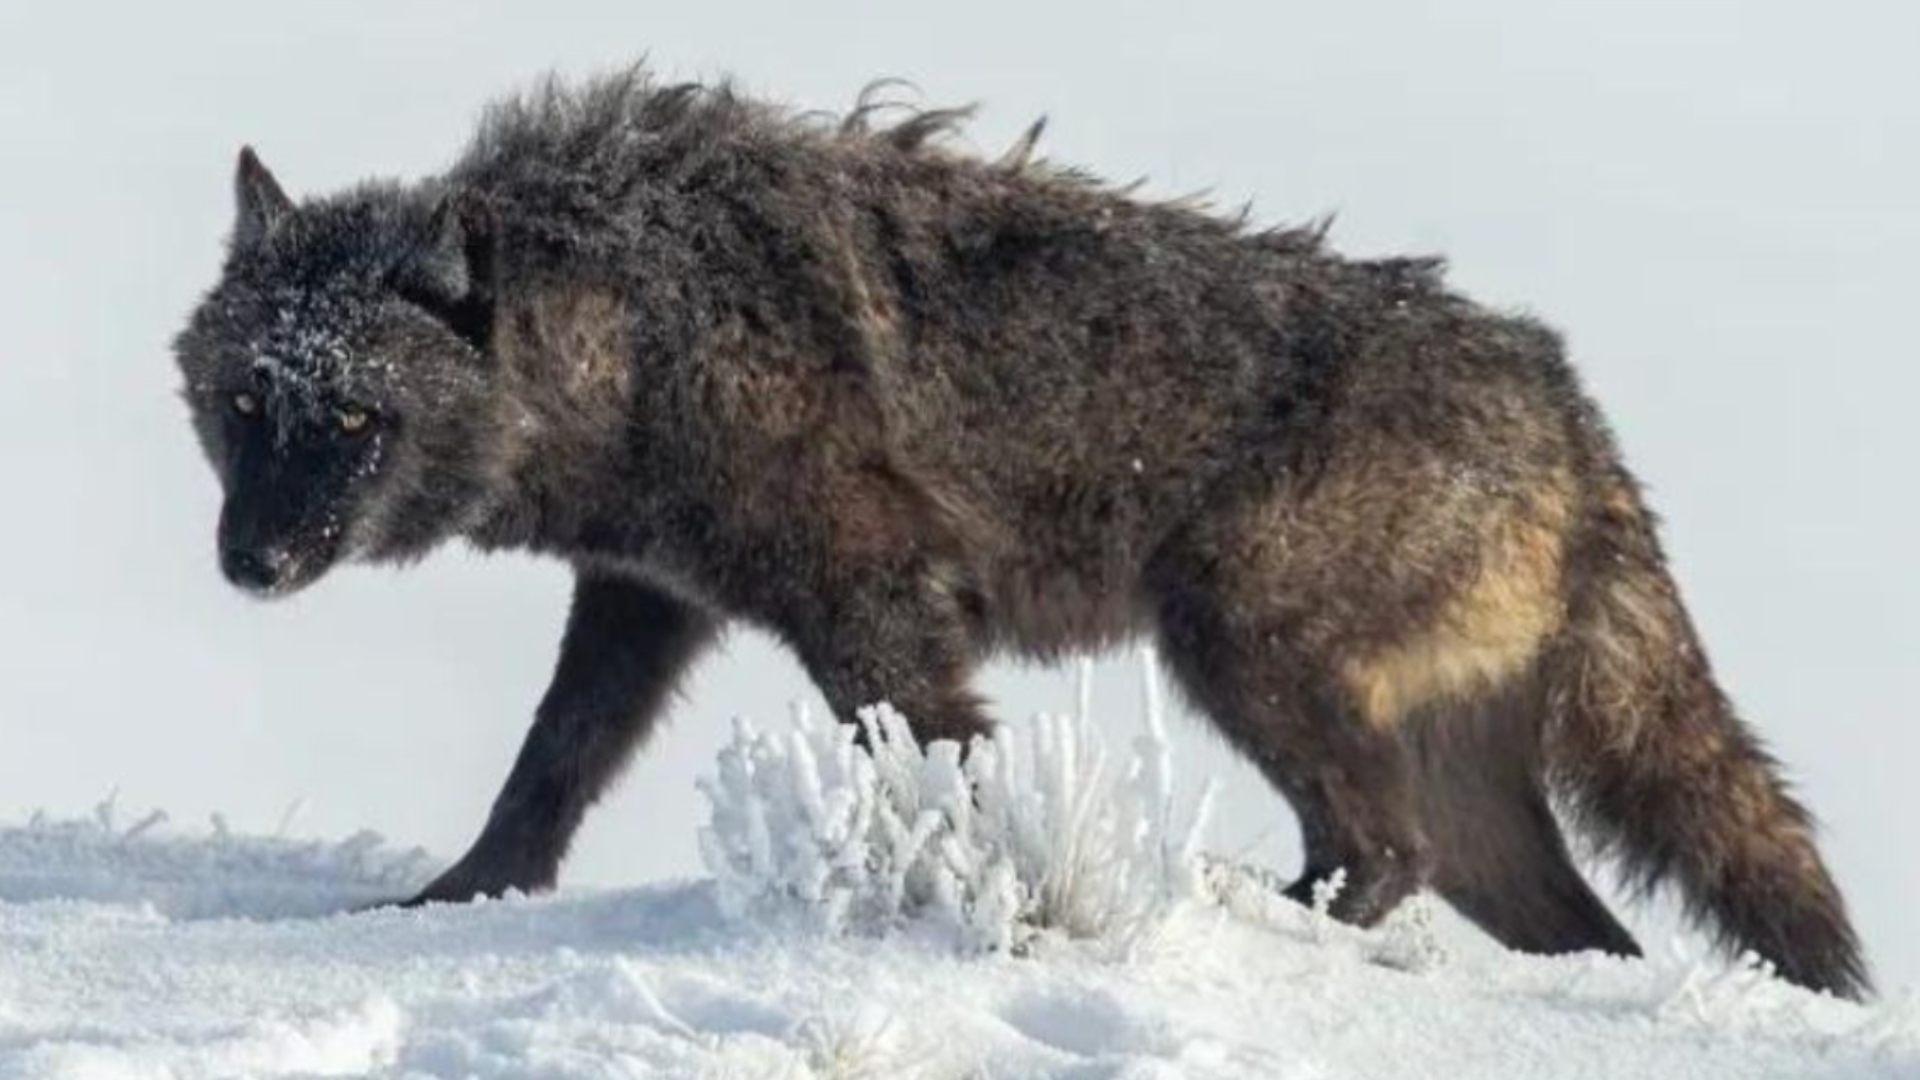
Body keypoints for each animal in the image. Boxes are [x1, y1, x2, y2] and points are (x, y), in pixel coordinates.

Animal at [174, 68, 1867, 996]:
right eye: (247, 403)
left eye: (353, 421)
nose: (250, 564)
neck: (641, 328)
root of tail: (1572, 411)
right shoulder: (642, 600)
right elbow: (548, 769)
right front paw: (444, 907)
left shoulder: (869, 605)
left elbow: (945, 772)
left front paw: (1008, 916)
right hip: (1461, 788)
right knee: (1579, 932)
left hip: (1233, 641)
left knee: (1378, 851)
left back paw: (1215, 910)